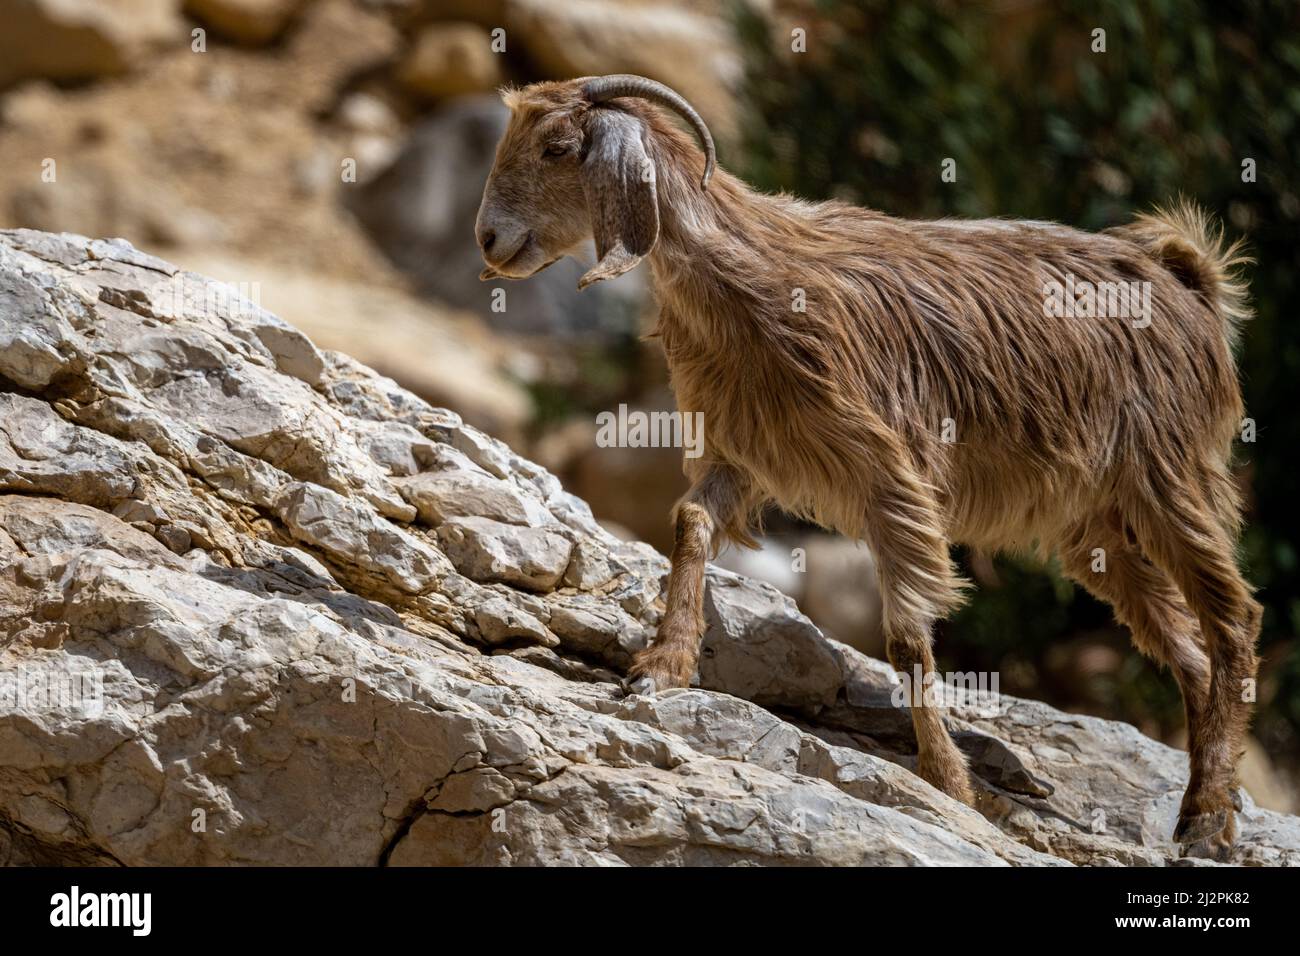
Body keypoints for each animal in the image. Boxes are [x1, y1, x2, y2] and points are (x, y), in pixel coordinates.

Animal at [475, 74, 1260, 855]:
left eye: (558, 147)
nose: (487, 238)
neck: (749, 271)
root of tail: (1190, 283)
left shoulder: (891, 473)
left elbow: (908, 634)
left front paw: (948, 782)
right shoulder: (749, 450)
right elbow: (692, 523)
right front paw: (660, 667)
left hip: (1169, 475)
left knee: (1234, 621)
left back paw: (1207, 824)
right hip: (1097, 523)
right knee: (1188, 649)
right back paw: (1204, 805)